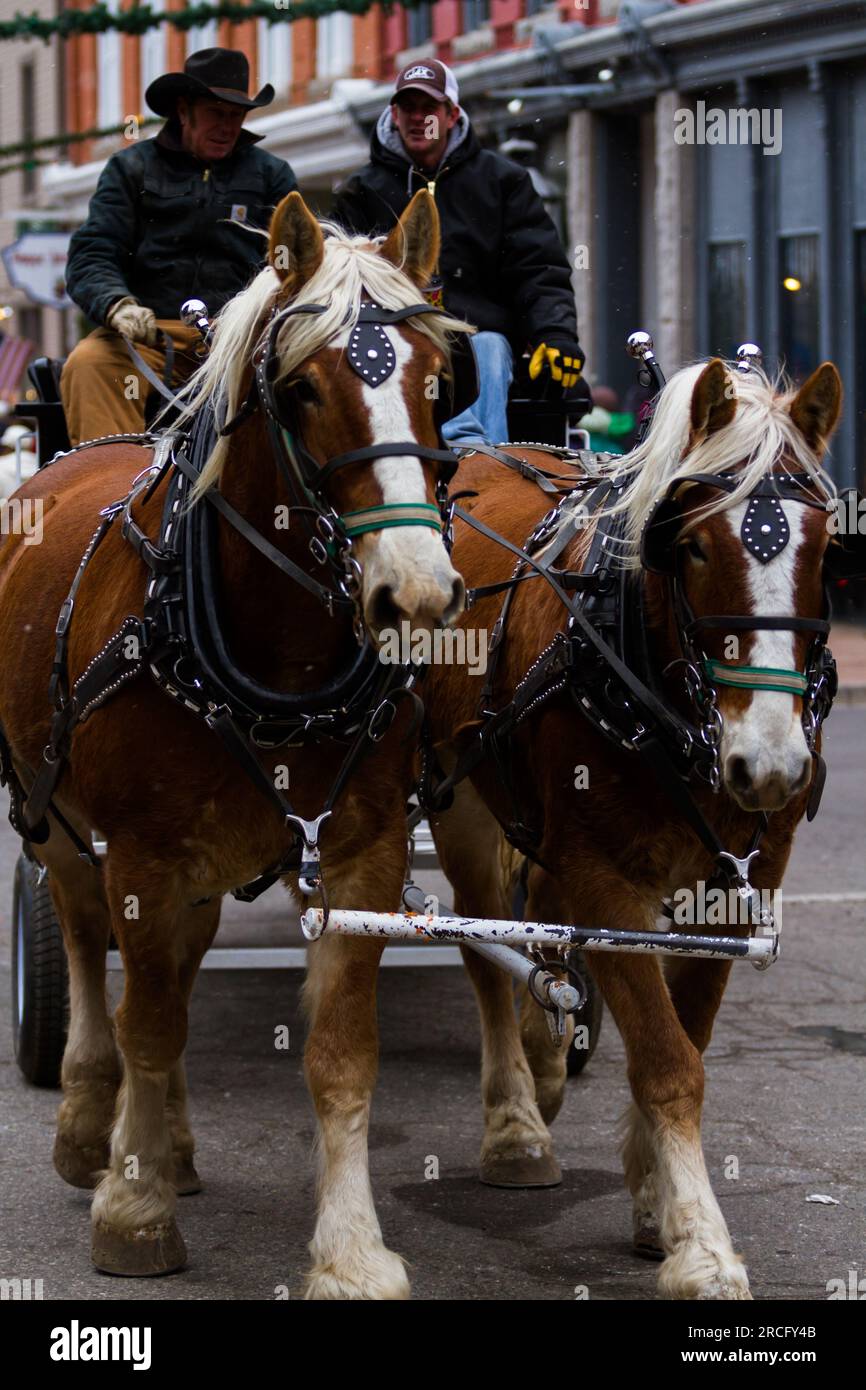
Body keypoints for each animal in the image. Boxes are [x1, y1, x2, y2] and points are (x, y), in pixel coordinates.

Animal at [0, 189, 470, 1291]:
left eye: (438, 382)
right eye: (300, 391)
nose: (418, 594)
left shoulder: (360, 851)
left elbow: (339, 1053)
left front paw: (351, 1249)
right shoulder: (136, 850)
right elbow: (149, 1020)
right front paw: (133, 1211)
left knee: (176, 963)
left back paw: (167, 1142)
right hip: (53, 814)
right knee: (89, 951)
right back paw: (91, 1127)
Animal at [414, 356, 844, 1300]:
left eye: (827, 549)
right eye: (694, 545)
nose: (770, 764)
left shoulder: (735, 884)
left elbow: (690, 1035)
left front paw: (655, 1202)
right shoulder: (608, 880)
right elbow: (668, 1061)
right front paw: (703, 1244)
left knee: (538, 913)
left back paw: (549, 1043)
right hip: (458, 798)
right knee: (480, 946)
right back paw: (517, 1120)